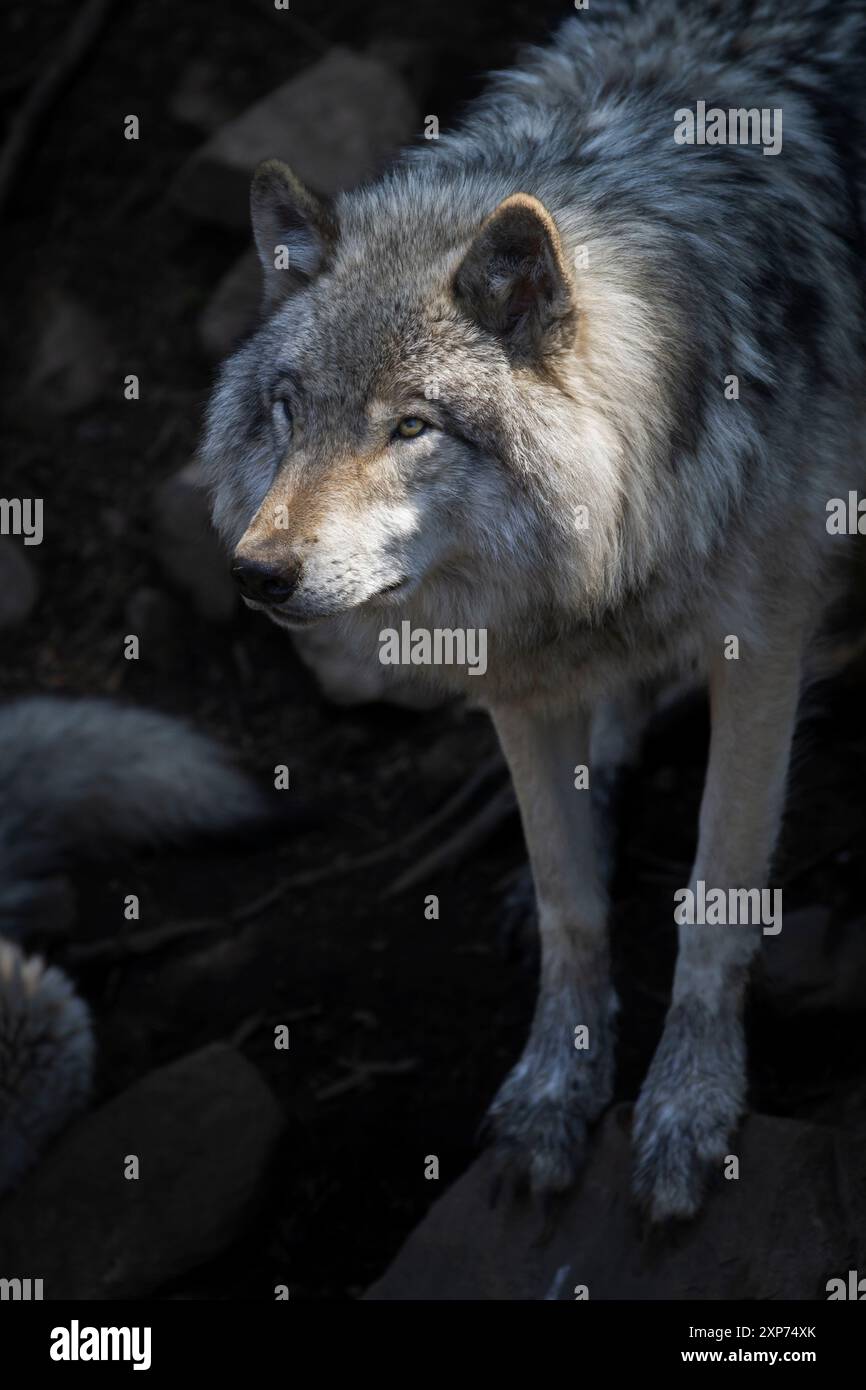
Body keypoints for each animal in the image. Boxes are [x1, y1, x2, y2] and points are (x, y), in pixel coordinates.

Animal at [200, 0, 866, 1220]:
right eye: (287, 411)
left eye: (410, 426)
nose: (256, 574)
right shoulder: (514, 673)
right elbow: (570, 901)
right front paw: (557, 1087)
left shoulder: (762, 640)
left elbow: (715, 889)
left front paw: (687, 1104)